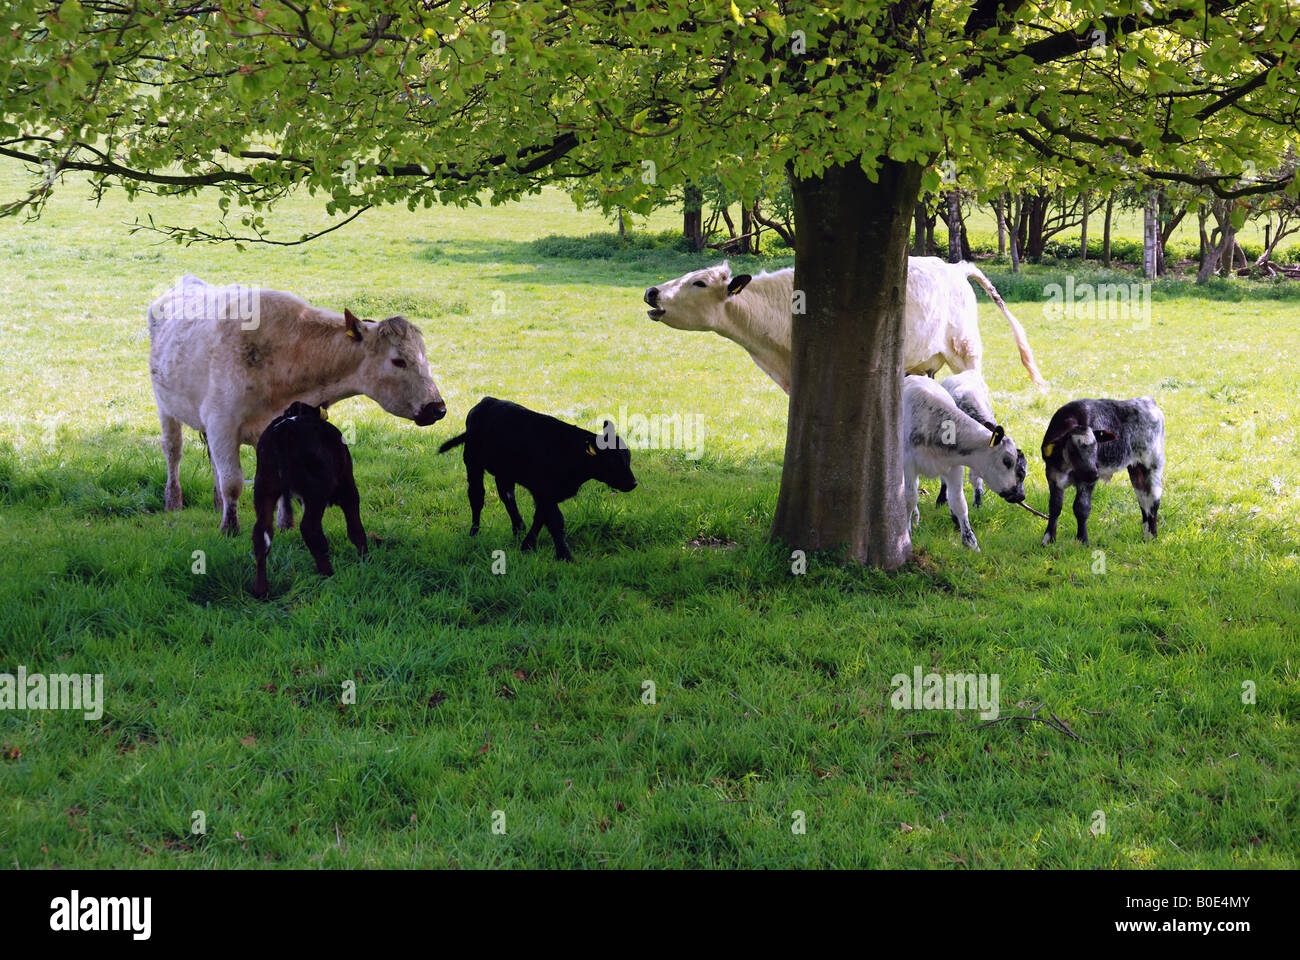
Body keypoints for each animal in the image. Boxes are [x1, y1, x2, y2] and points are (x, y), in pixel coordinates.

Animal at [147, 274, 446, 534]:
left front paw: (285, 524)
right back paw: (173, 501)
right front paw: (229, 529)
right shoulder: (222, 423)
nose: (438, 408)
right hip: (165, 407)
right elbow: (232, 481)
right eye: (399, 361)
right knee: (173, 452)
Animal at [251, 403, 365, 599]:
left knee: (261, 532)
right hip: (316, 492)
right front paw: (366, 557)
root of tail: (284, 429)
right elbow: (355, 526)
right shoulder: (348, 486)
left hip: (264, 488)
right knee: (310, 528)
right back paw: (328, 573)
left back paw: (260, 590)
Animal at [438, 397, 637, 561]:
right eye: (613, 461)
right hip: (472, 462)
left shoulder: (545, 493)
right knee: (476, 496)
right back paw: (474, 533)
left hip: (505, 472)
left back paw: (518, 529)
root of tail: (487, 402)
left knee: (507, 496)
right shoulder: (544, 490)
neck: (569, 453)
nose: (633, 483)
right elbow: (555, 521)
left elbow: (541, 517)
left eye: (628, 457)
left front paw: (527, 545)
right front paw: (564, 556)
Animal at [903, 375, 1027, 551]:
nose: (1020, 495)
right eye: (1007, 461)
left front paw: (970, 543)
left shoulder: (954, 468)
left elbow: (959, 503)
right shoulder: (908, 466)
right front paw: (906, 534)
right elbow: (910, 498)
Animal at [1039, 398, 1165, 546]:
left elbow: (1081, 508)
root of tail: (1147, 400)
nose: (1094, 474)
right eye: (1073, 450)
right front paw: (1048, 539)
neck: (1066, 466)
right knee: (1143, 499)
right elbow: (1055, 507)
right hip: (1136, 469)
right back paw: (1146, 534)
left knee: (1153, 500)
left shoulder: (1086, 482)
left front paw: (1082, 541)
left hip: (1153, 465)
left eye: (1096, 447)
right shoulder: (1053, 476)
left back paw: (1152, 536)